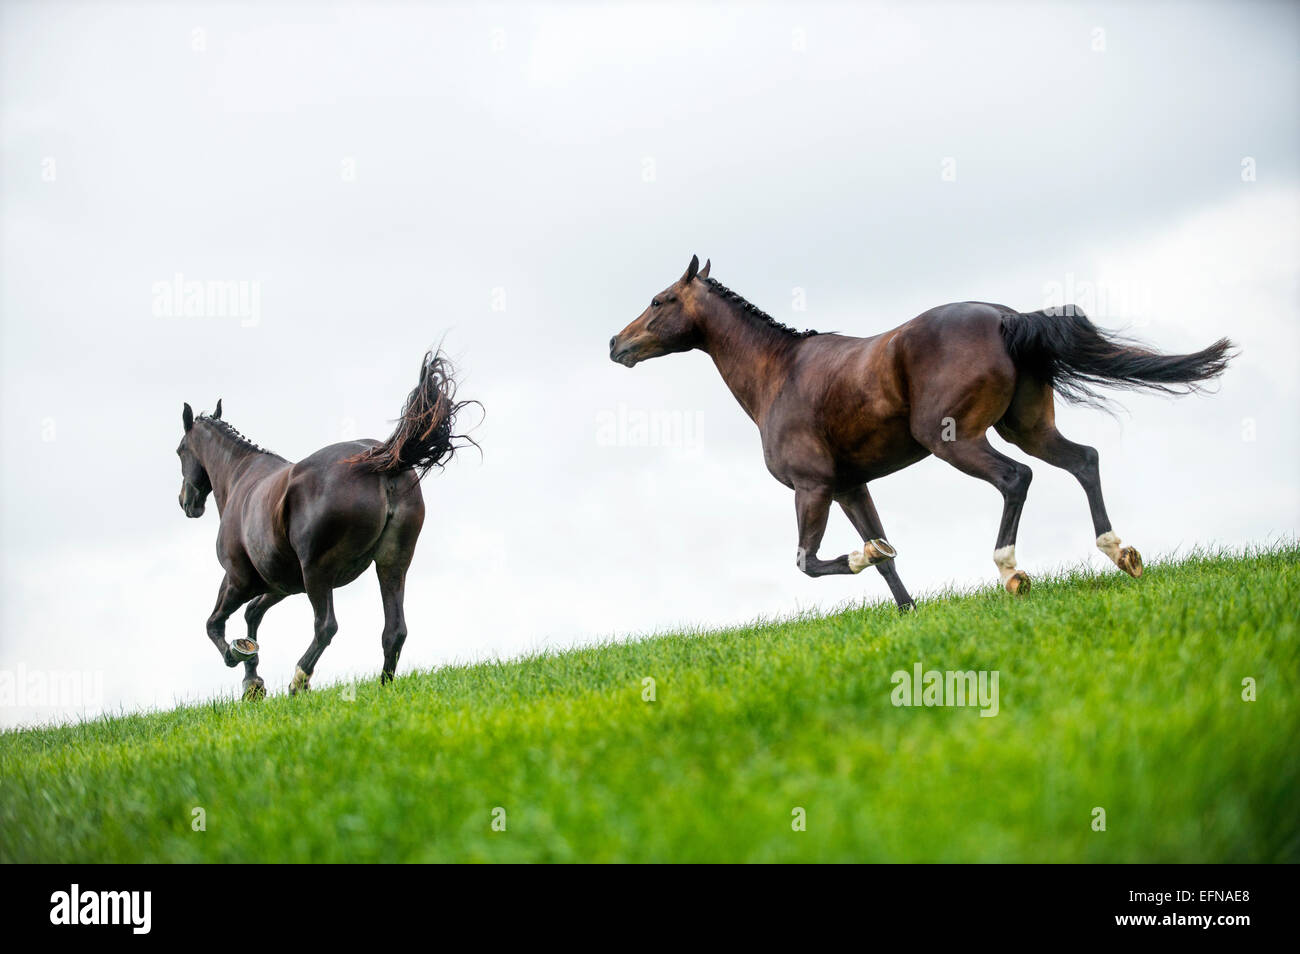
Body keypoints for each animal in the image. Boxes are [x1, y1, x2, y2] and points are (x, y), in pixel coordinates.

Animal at [175, 351, 474, 699]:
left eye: (180, 451)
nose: (187, 502)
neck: (241, 476)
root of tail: (379, 461)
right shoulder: (280, 586)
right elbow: (252, 615)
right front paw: (253, 682)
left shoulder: (238, 579)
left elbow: (215, 623)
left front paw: (239, 660)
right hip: (392, 564)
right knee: (394, 630)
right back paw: (383, 687)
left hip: (318, 573)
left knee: (326, 626)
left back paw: (299, 680)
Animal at [609, 255, 1233, 610]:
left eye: (660, 300)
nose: (616, 343)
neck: (779, 374)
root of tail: (1004, 317)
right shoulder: (850, 487)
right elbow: (886, 557)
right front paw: (909, 610)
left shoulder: (813, 488)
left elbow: (811, 560)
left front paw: (864, 558)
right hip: (1028, 428)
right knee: (1084, 460)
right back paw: (1120, 553)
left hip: (955, 441)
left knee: (1017, 478)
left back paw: (1012, 573)